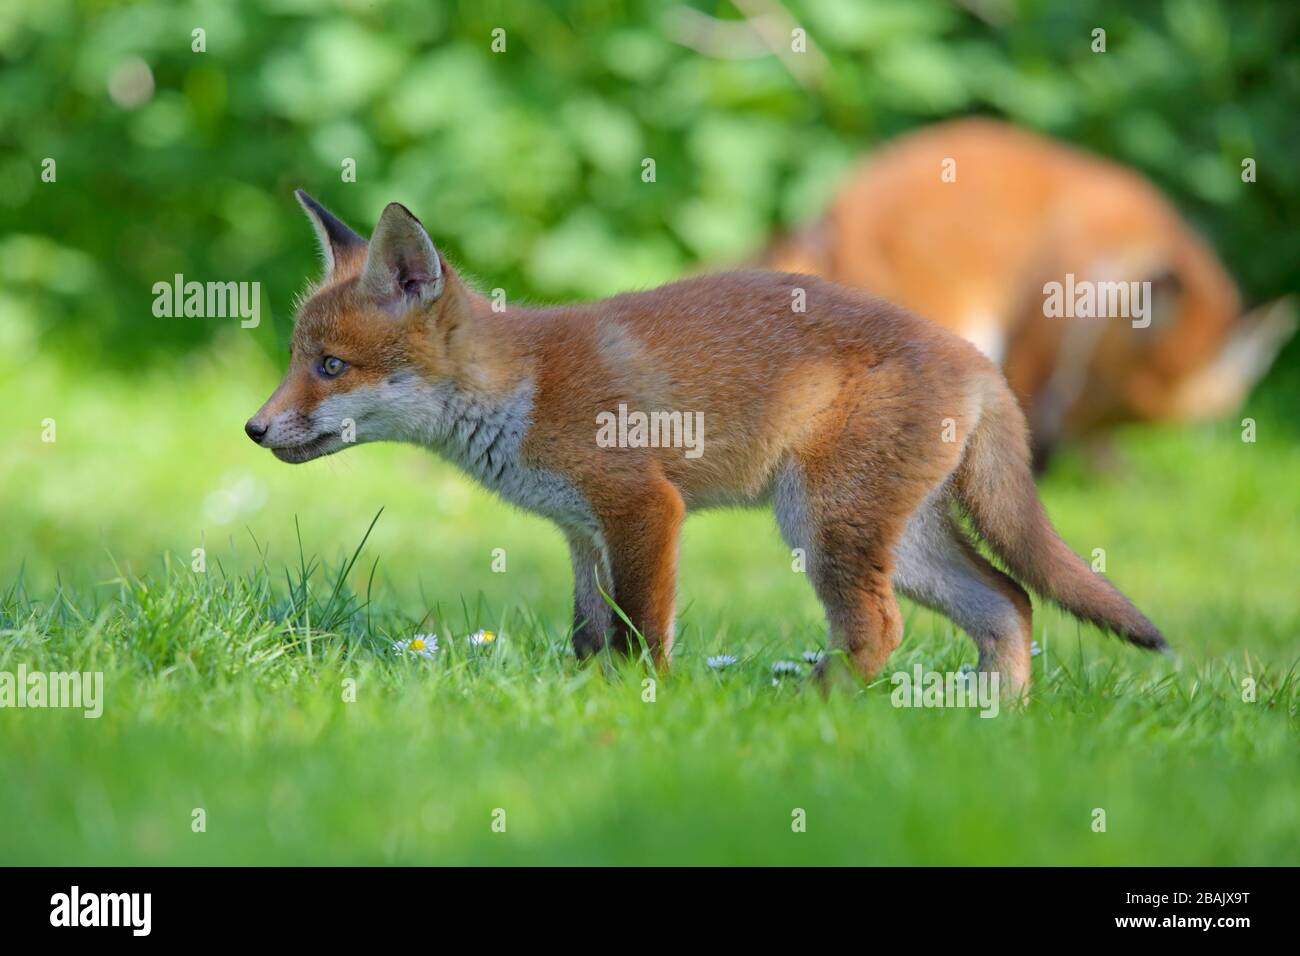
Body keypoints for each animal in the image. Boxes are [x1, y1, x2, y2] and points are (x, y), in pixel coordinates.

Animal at [246, 190, 1169, 696]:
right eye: (297, 361)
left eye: (330, 367)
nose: (253, 428)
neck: (522, 393)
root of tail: (981, 362)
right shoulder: (583, 533)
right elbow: (591, 636)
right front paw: (581, 703)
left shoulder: (645, 507)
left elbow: (643, 632)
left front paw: (646, 706)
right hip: (897, 538)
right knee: (1010, 604)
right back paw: (990, 725)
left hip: (824, 527)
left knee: (882, 629)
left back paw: (810, 708)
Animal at [763, 118, 1295, 468]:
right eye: (1097, 383)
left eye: (1117, 416)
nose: (1050, 456)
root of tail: (833, 211)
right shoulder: (1044, 319)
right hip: (959, 326)